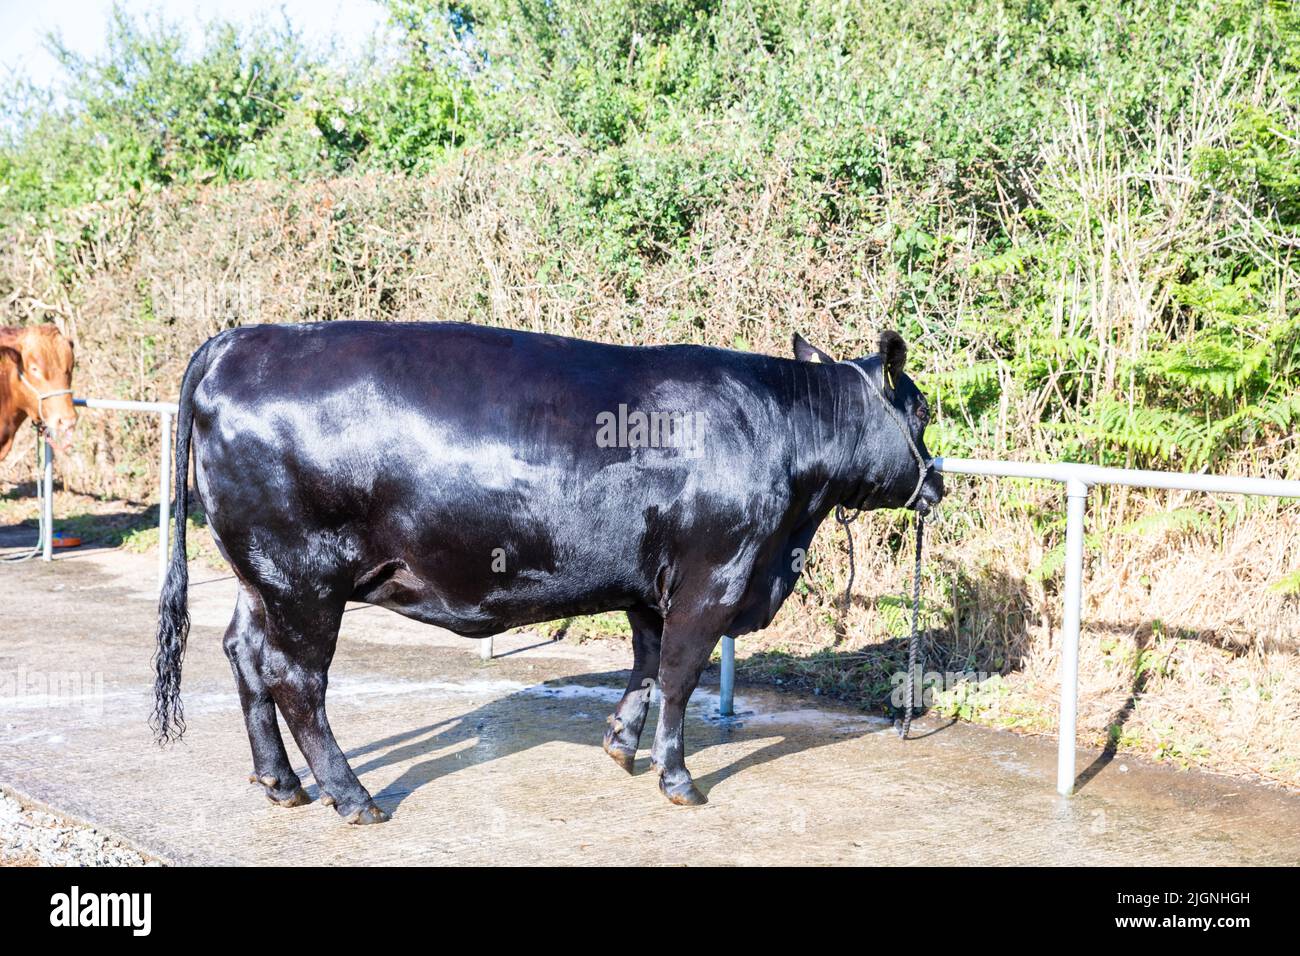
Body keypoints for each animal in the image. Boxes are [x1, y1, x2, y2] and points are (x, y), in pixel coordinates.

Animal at [154, 321, 943, 823]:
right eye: (923, 411)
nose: (937, 483)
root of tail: (241, 339)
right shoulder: (713, 578)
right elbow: (681, 675)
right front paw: (677, 779)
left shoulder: (649, 585)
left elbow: (647, 663)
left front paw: (620, 745)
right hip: (303, 579)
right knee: (297, 680)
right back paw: (352, 798)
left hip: (261, 580)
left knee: (245, 655)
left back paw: (281, 783)